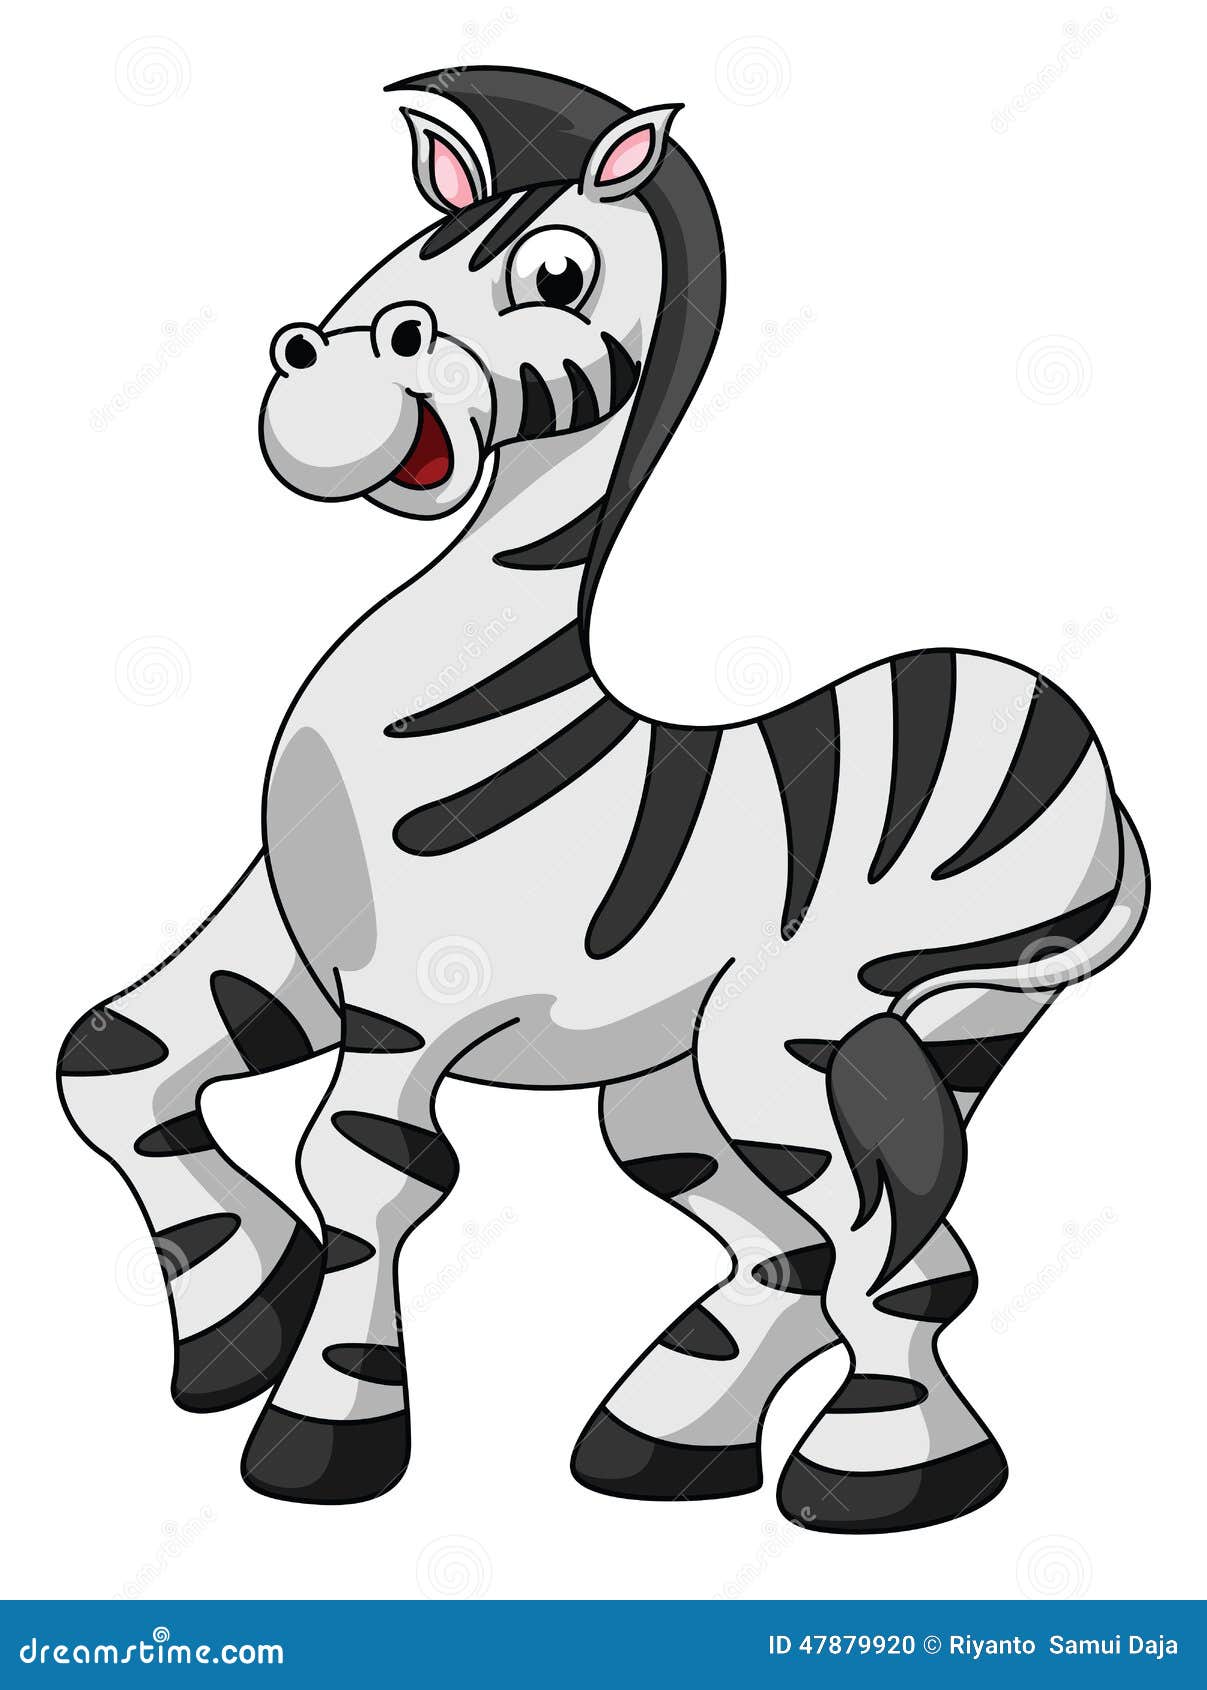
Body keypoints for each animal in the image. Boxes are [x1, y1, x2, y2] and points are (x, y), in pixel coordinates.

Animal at [57, 66, 1149, 1527]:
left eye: (558, 273)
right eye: (412, 252)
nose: (316, 364)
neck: (456, 684)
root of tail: (1085, 762)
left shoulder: (415, 1003)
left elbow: (361, 1174)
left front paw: (322, 1439)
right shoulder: (287, 954)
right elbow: (108, 1060)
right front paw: (239, 1315)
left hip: (805, 1033)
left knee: (892, 1251)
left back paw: (880, 1478)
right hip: (696, 1079)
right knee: (800, 1251)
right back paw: (666, 1442)